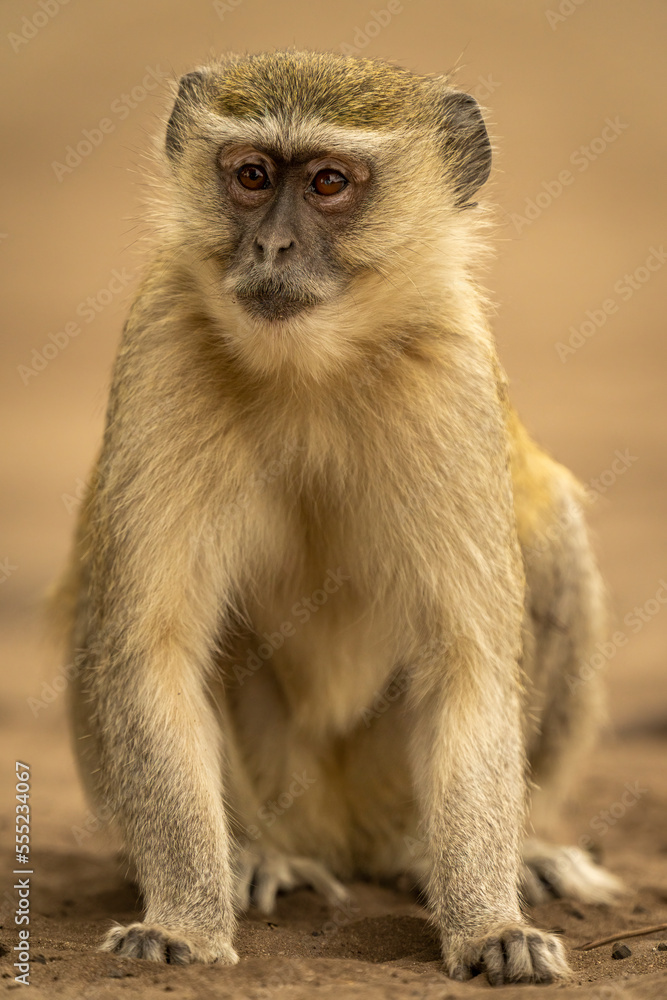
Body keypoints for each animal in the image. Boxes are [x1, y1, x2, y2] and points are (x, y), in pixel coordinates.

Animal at [56, 50, 624, 985]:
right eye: (251, 176)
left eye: (328, 183)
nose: (272, 246)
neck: (308, 369)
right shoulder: (163, 335)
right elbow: (150, 653)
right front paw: (184, 921)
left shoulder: (449, 363)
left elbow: (467, 666)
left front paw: (488, 926)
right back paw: (257, 857)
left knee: (550, 541)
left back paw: (460, 856)